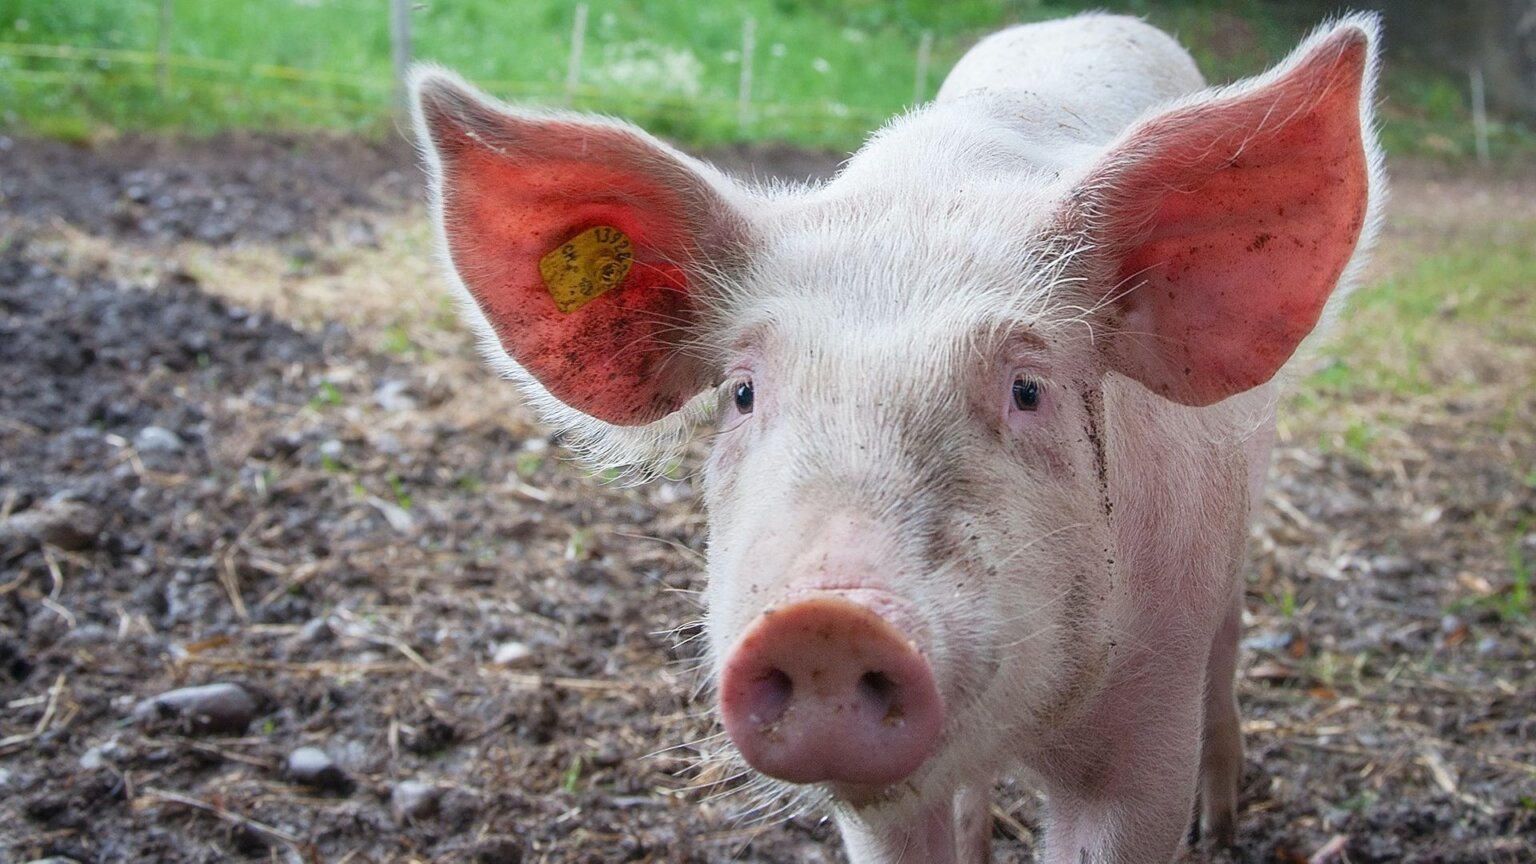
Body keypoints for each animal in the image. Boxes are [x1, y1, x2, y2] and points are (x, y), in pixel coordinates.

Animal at [410, 12, 1383, 863]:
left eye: (1028, 389)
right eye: (742, 393)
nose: (825, 622)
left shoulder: (1147, 732)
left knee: (1228, 647)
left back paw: (1221, 828)